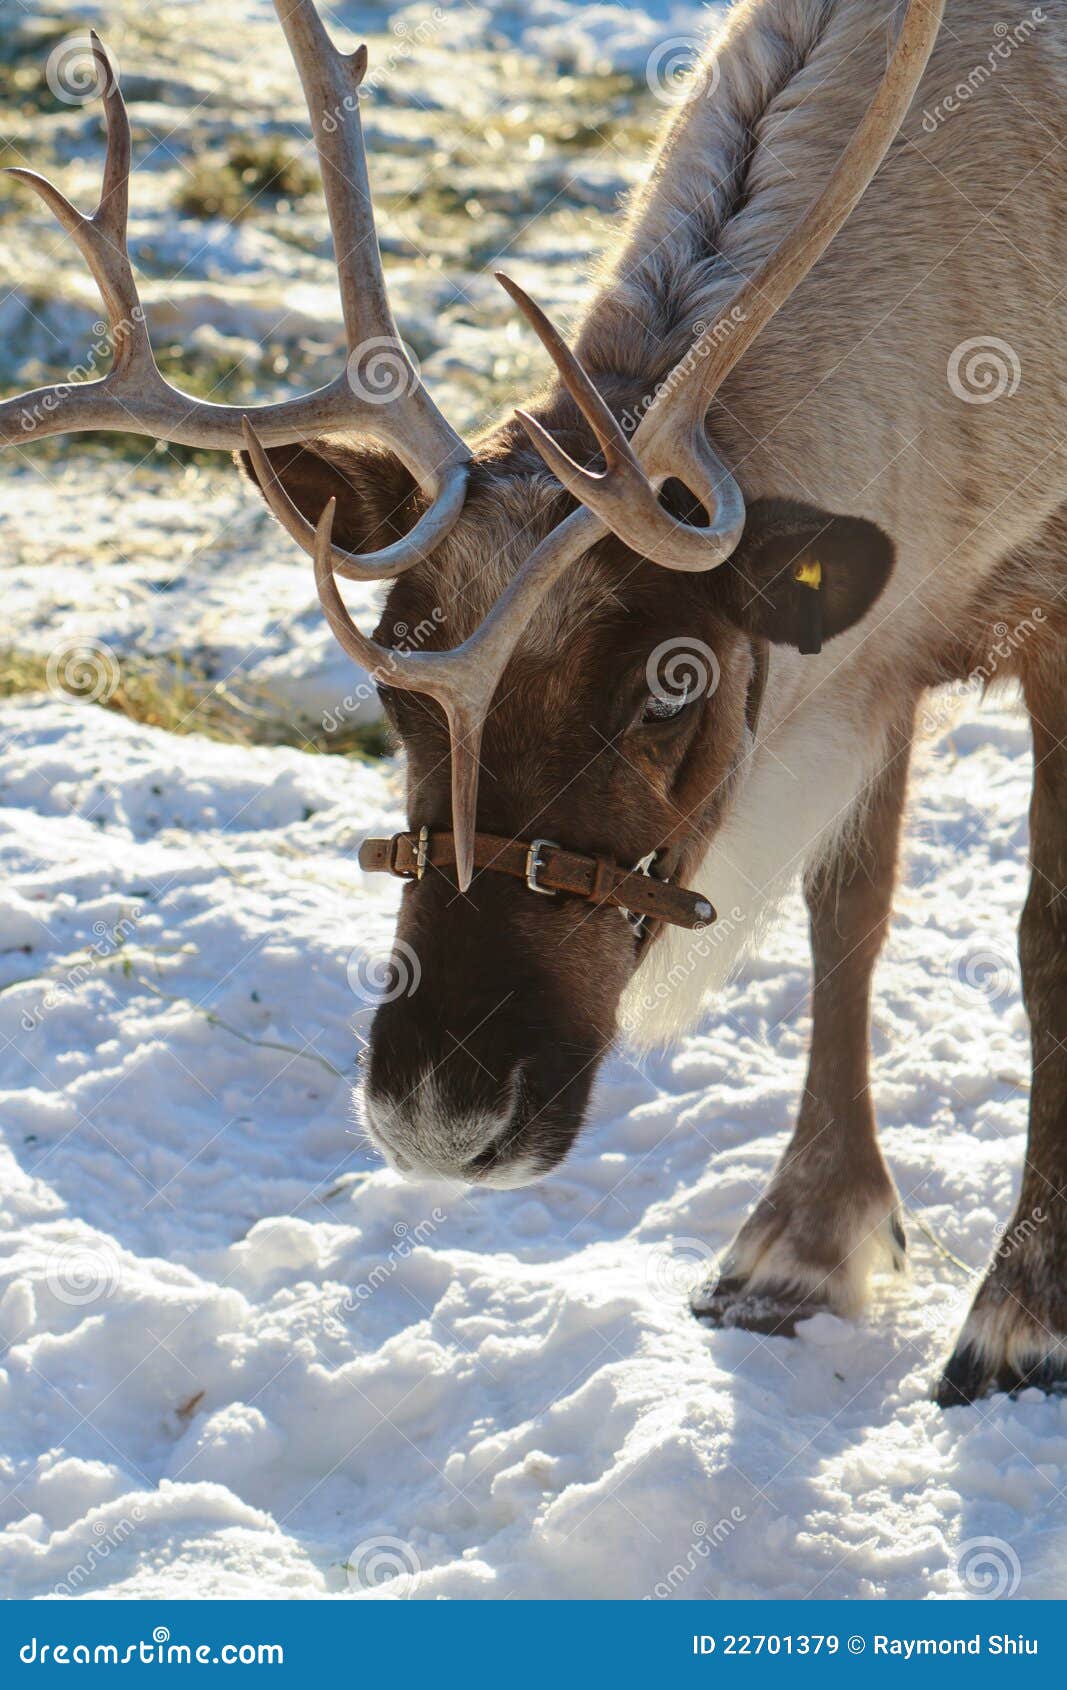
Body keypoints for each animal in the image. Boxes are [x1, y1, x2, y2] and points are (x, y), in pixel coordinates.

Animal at [4, 0, 1067, 1408]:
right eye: (387, 675)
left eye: (669, 687)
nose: (439, 1113)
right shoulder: (878, 648)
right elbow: (846, 916)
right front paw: (802, 1241)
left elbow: (1043, 937)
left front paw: (1021, 1312)